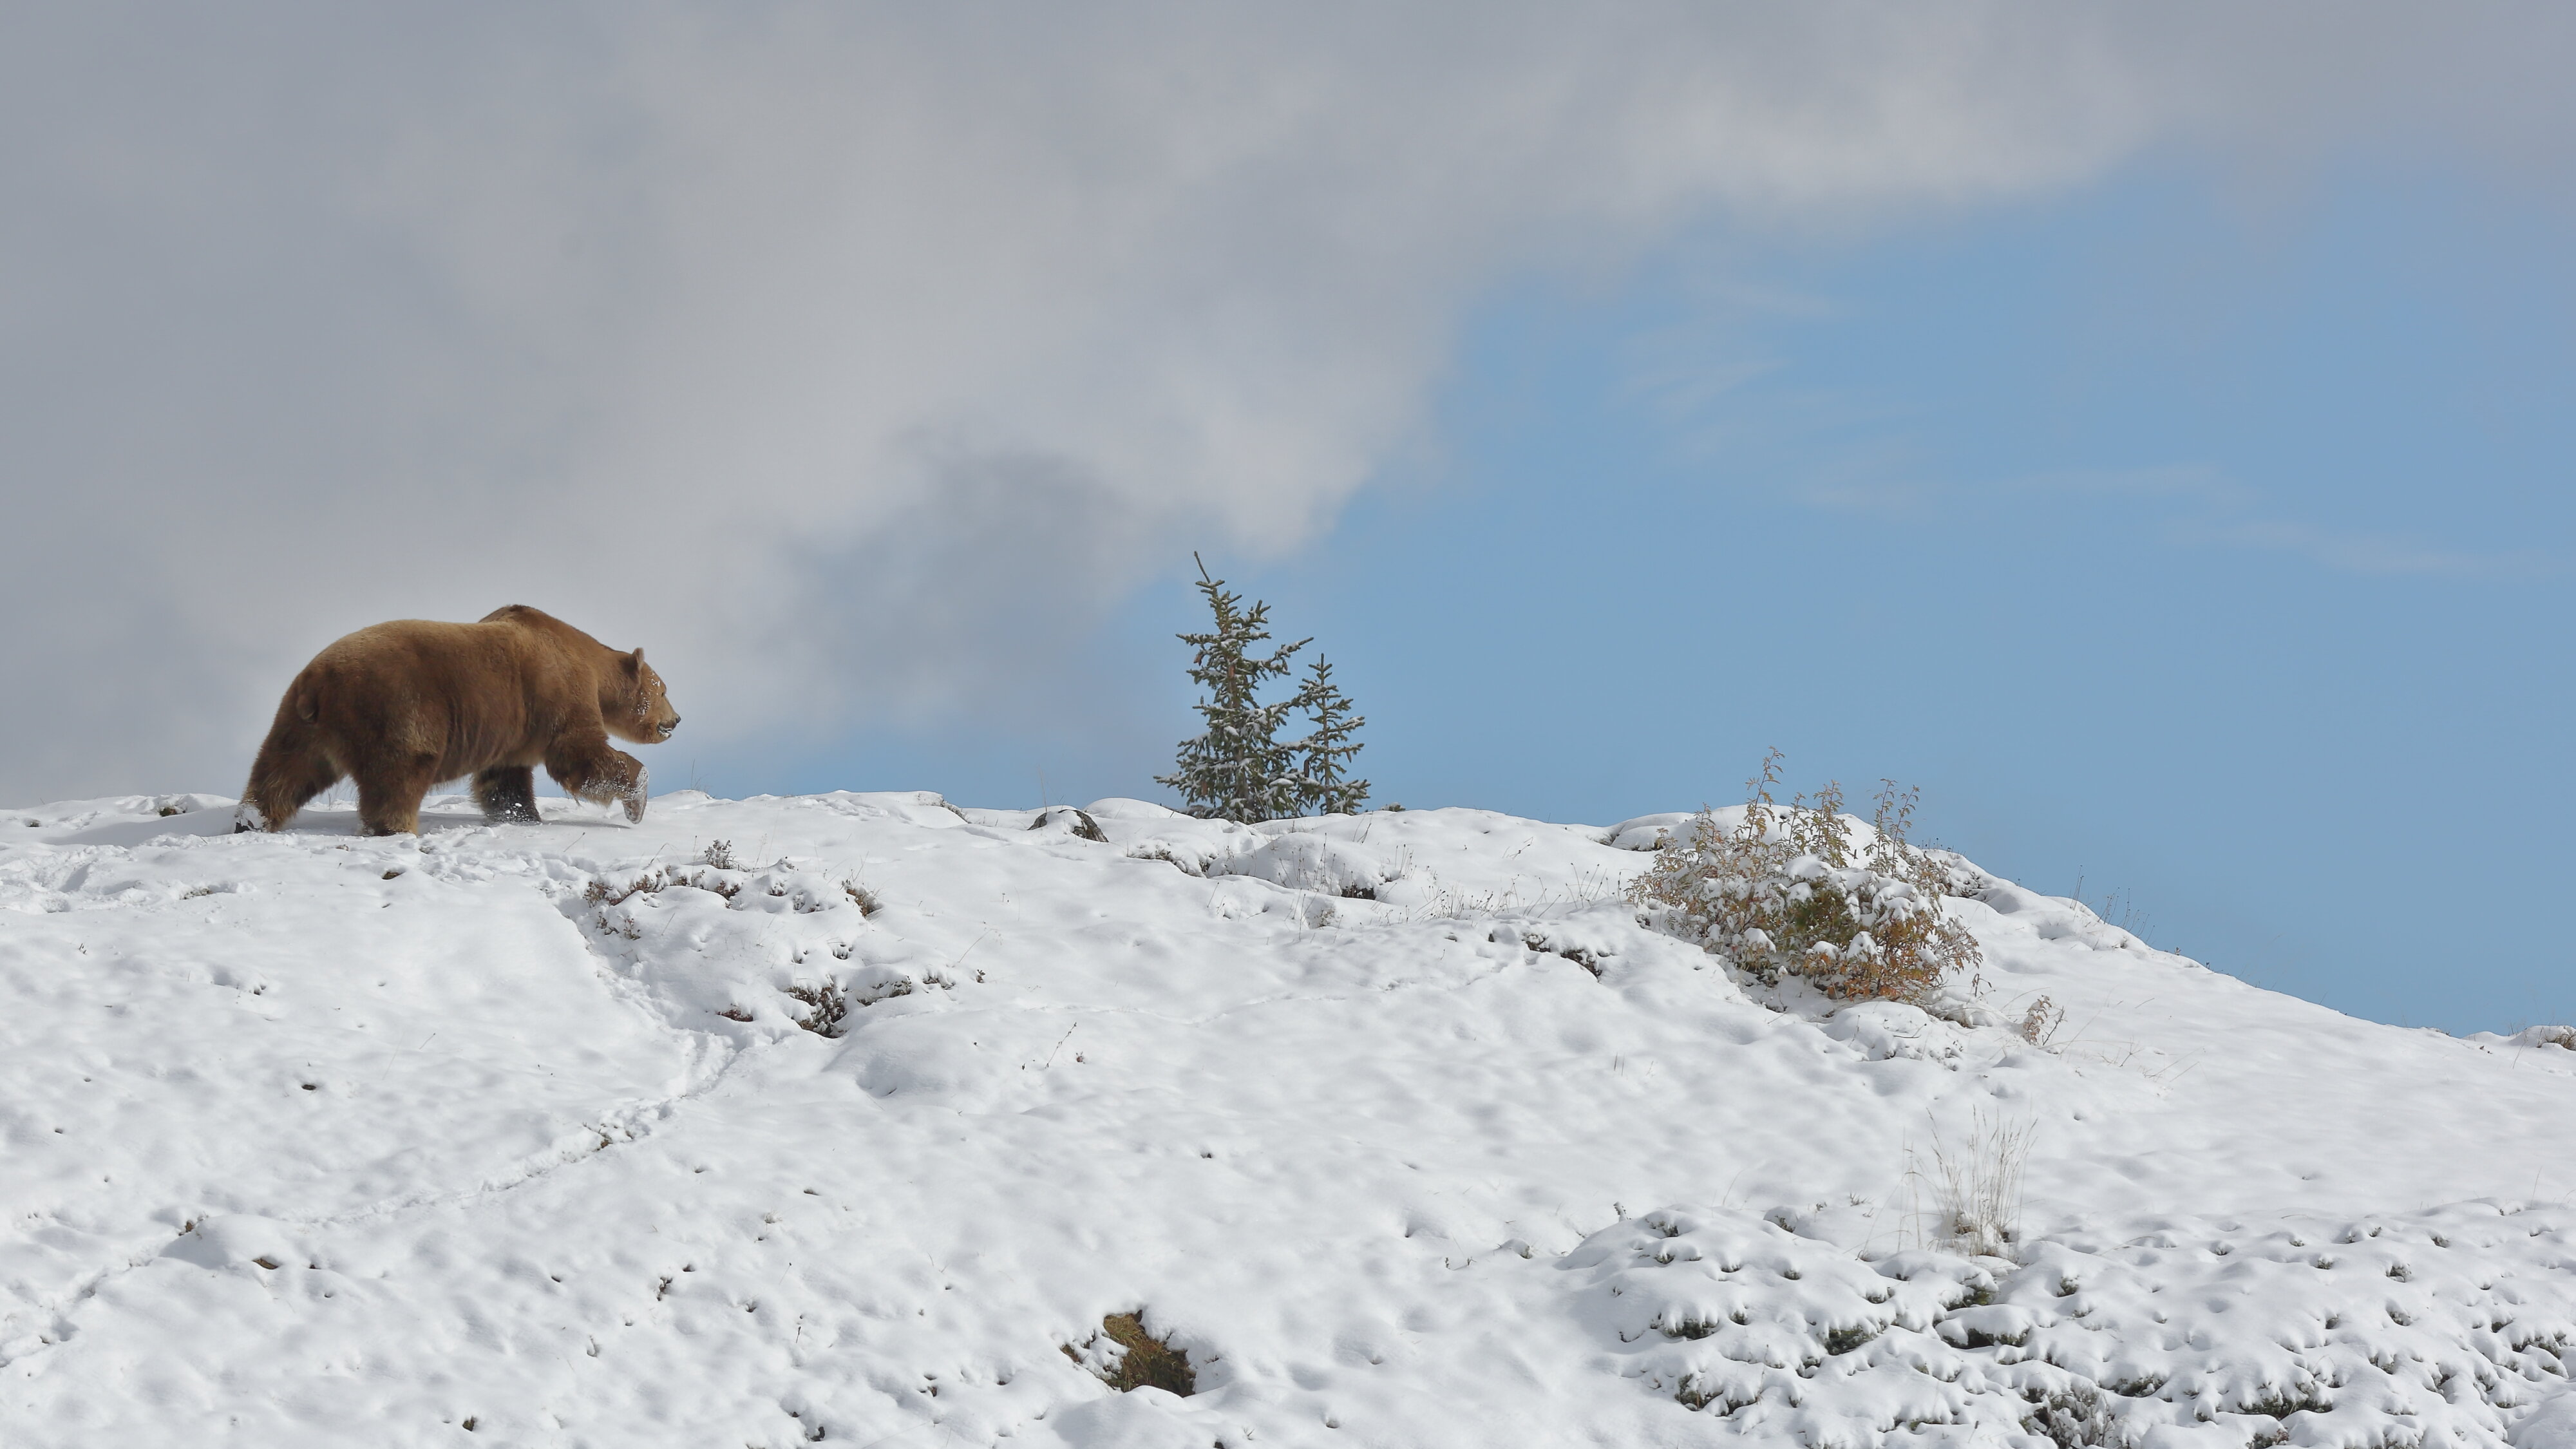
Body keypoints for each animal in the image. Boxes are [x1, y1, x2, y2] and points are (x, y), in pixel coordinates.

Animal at [233, 604, 681, 837]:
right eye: (662, 689)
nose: (676, 720)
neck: (591, 665)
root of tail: (319, 681)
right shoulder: (558, 693)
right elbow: (578, 754)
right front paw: (637, 801)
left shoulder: (514, 729)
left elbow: (504, 781)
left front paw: (522, 816)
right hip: (397, 708)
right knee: (399, 773)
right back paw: (397, 828)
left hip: (298, 721)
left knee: (283, 770)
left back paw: (252, 819)